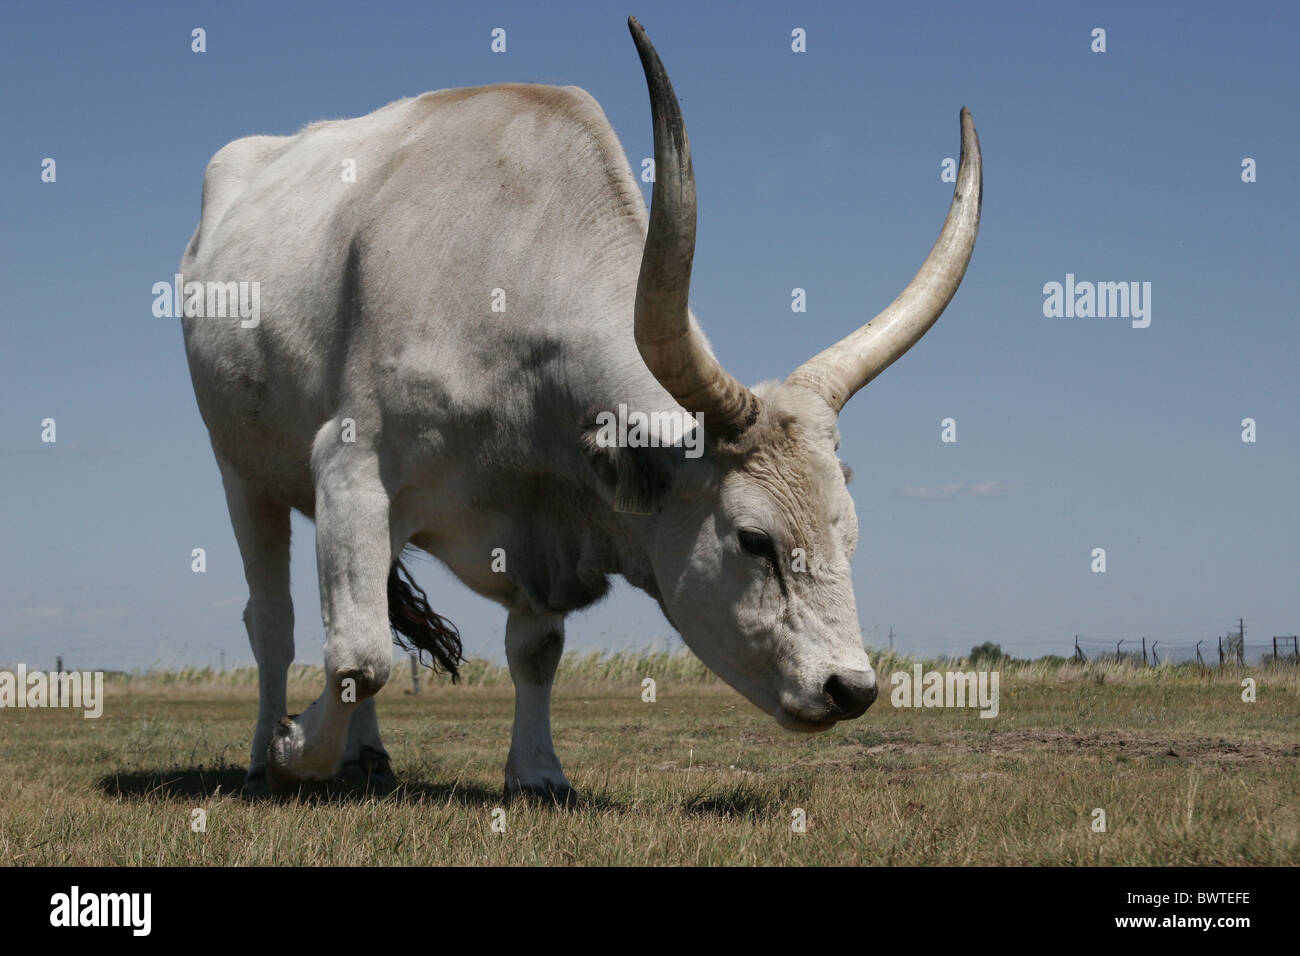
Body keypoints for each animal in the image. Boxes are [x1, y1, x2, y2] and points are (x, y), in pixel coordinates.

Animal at [178, 17, 981, 802]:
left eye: (851, 533)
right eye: (754, 539)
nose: (852, 688)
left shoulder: (539, 529)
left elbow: (533, 650)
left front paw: (537, 772)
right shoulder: (353, 470)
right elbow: (359, 654)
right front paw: (294, 749)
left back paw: (366, 757)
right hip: (238, 468)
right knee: (274, 622)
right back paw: (266, 757)